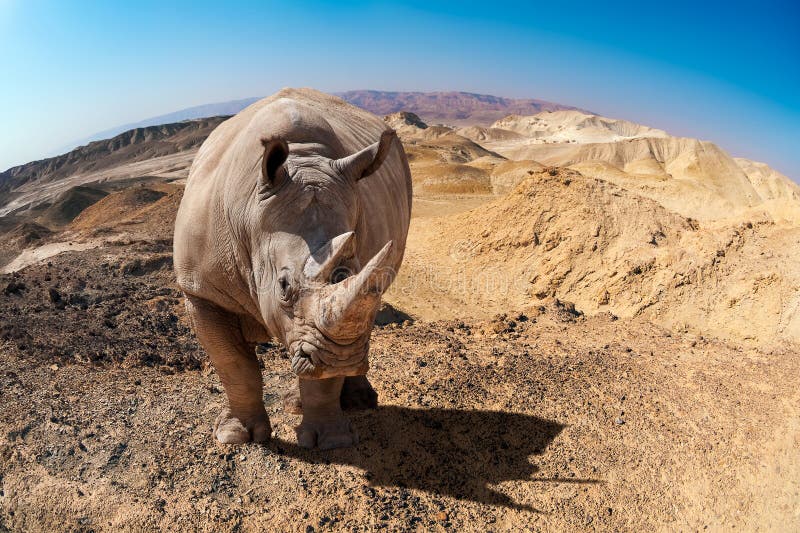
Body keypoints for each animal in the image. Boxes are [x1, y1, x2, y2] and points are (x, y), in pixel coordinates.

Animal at [174, 88, 411, 449]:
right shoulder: (201, 289)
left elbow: (324, 375)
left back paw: (353, 402)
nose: (339, 359)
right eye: (283, 286)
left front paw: (332, 440)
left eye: (351, 269)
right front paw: (235, 436)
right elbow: (233, 364)